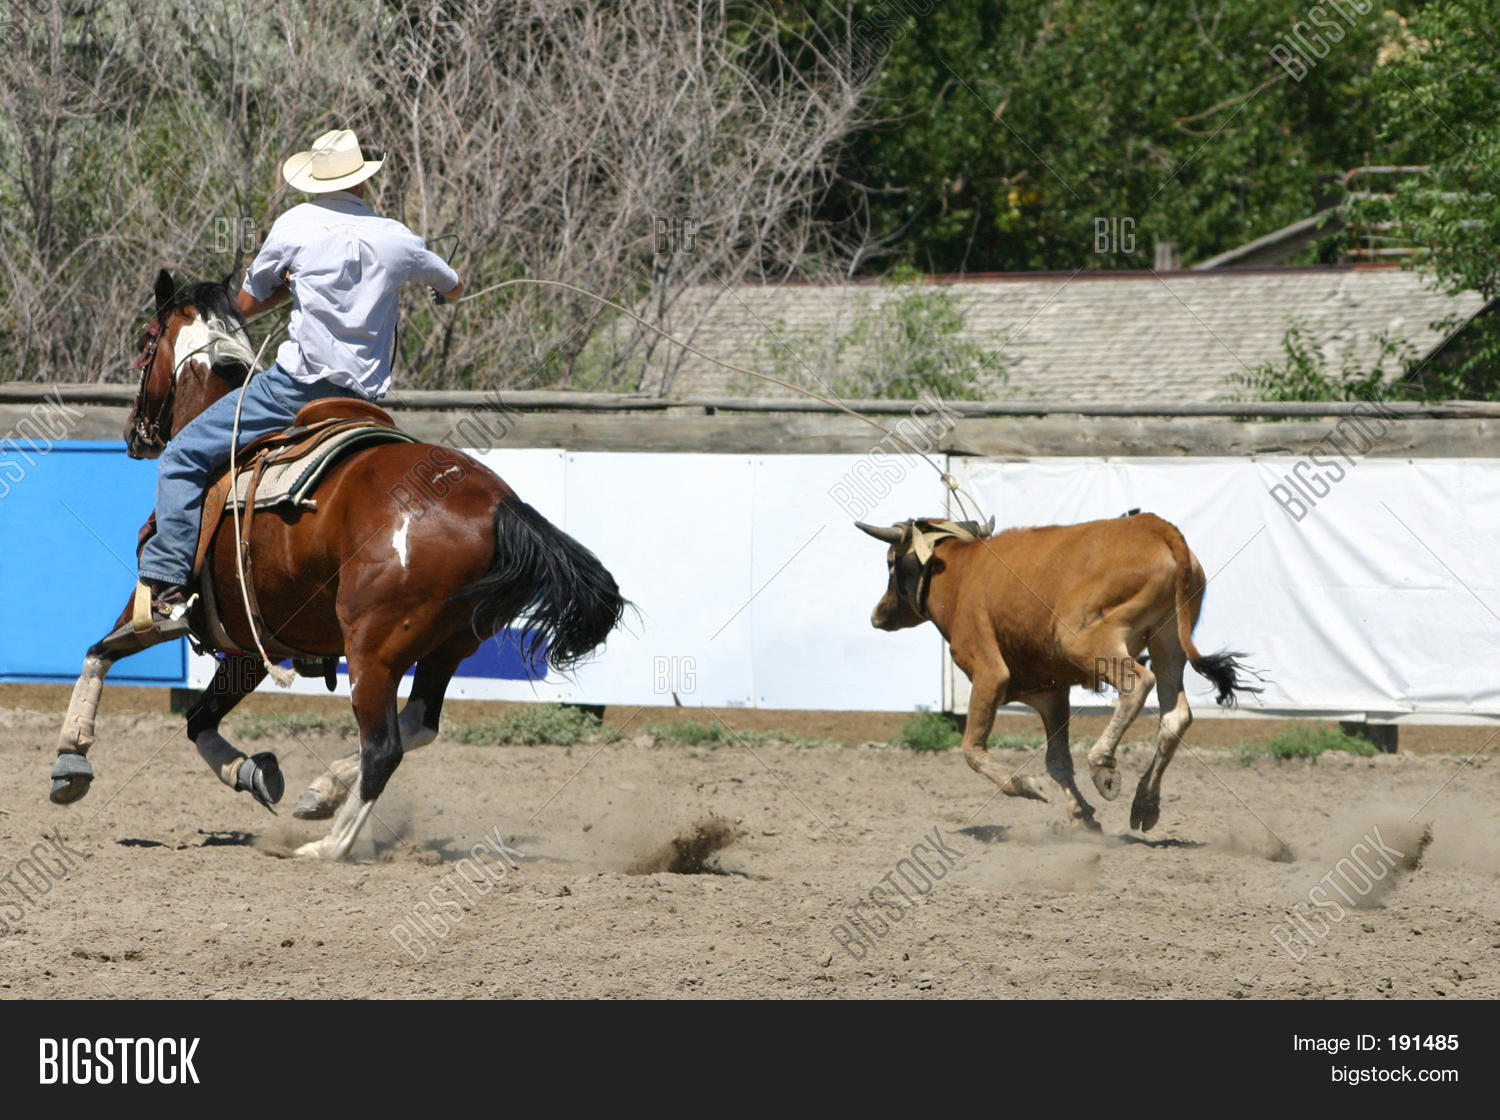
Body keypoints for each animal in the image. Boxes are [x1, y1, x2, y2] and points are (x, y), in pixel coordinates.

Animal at [857, 511, 1259, 831]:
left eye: (891, 563)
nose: (878, 615)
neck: (962, 572)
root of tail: (1154, 526)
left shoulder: (988, 672)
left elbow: (973, 748)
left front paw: (1026, 785)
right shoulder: (1050, 692)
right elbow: (1057, 761)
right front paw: (1081, 815)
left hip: (1081, 638)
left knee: (1136, 683)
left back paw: (1103, 765)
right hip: (1167, 640)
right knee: (1176, 716)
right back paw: (1145, 802)